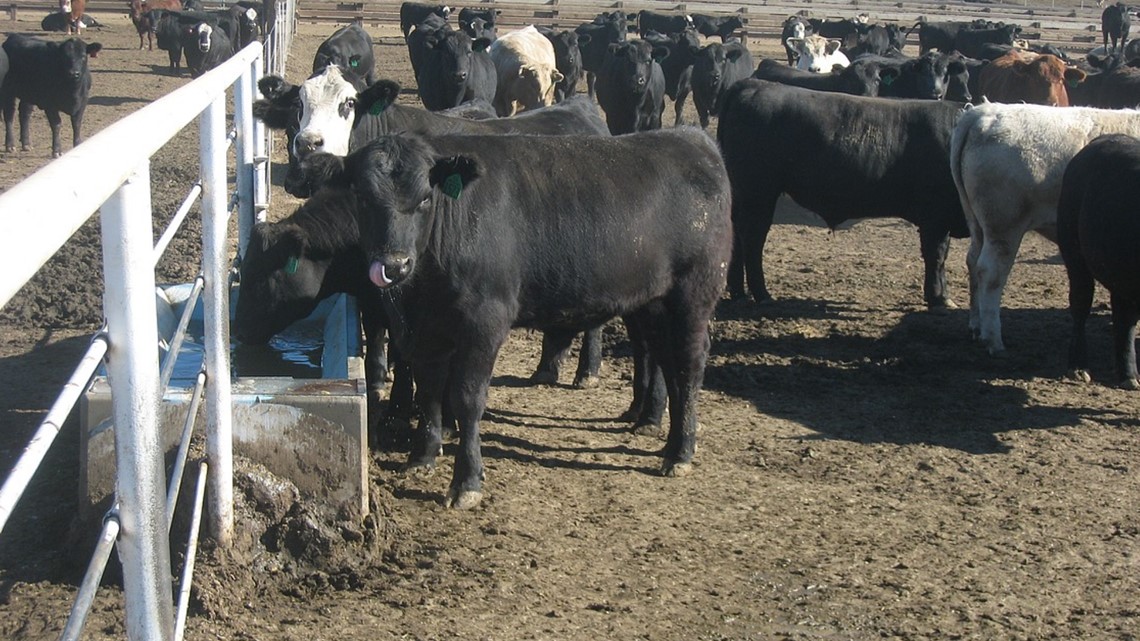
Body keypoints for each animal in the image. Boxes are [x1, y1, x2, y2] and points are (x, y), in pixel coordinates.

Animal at [296, 127, 732, 509]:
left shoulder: (484, 321)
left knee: (689, 365)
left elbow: (467, 398)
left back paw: (680, 452)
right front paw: (423, 456)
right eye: (362, 197)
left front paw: (466, 482)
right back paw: (658, 431)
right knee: (665, 359)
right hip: (653, 303)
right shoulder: (426, 329)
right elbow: (430, 389)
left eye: (424, 198)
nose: (394, 264)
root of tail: (693, 138)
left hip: (694, 295)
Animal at [718, 79, 968, 308]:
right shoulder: (935, 217)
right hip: (759, 194)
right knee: (753, 238)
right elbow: (937, 256)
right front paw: (939, 297)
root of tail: (755, 84)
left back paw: (739, 293)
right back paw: (762, 295)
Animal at [949, 103, 1140, 354]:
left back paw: (976, 326)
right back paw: (993, 340)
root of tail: (983, 113)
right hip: (1003, 225)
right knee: (990, 272)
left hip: (977, 224)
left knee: (972, 261)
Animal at [1056, 134, 1140, 387]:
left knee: (1123, 318)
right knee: (1081, 305)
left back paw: (1128, 375)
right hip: (1074, 255)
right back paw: (1078, 367)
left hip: (1119, 274)